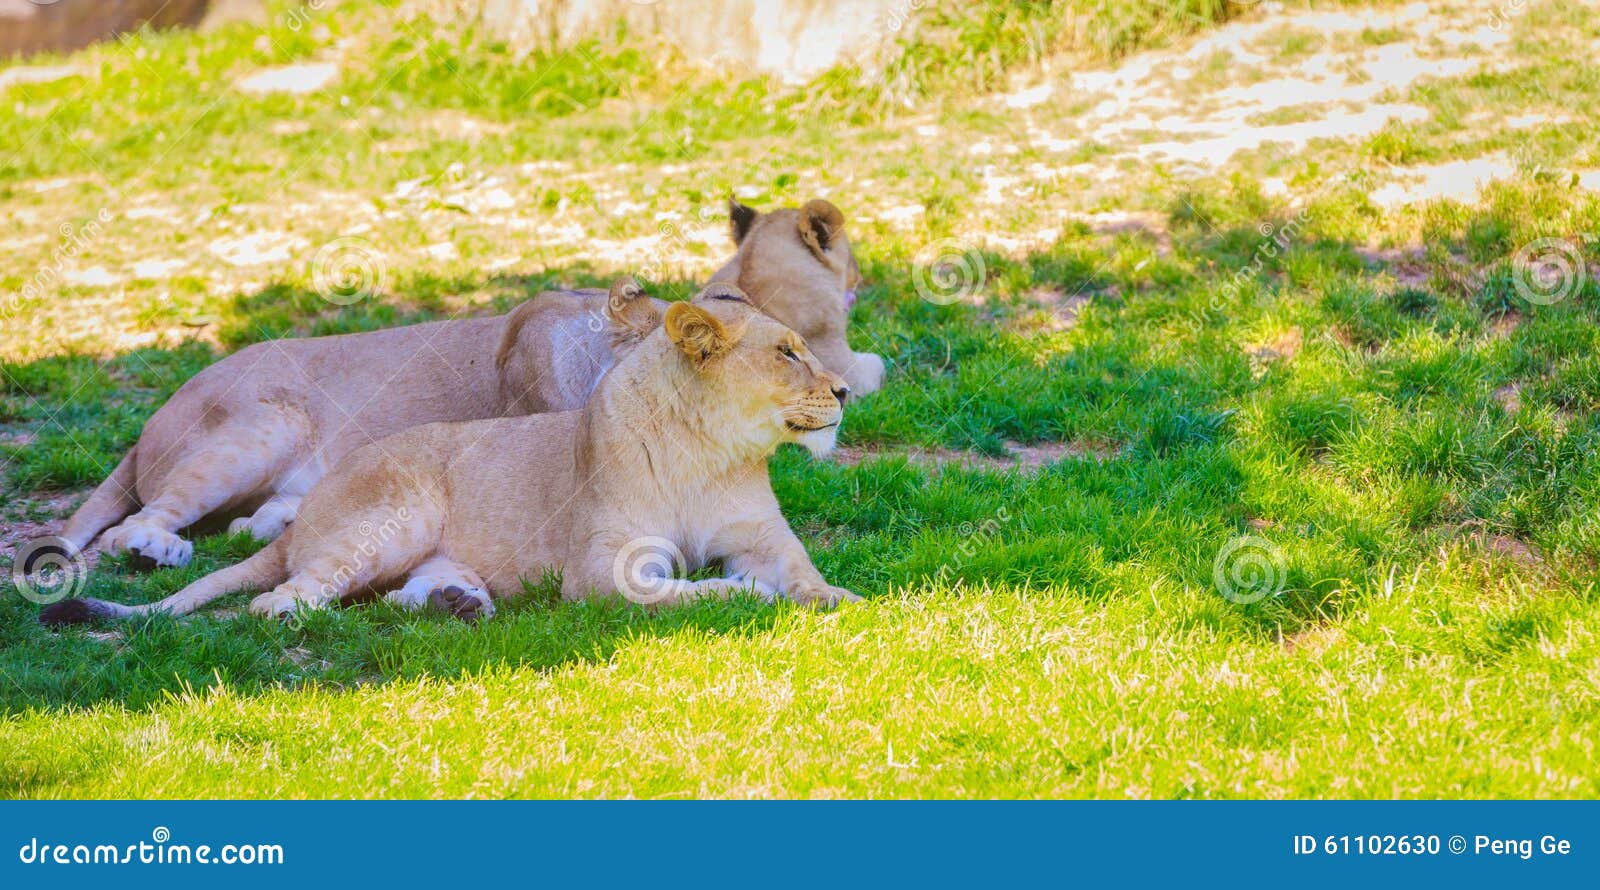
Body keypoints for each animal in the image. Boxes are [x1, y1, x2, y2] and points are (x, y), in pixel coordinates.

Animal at [40, 283, 859, 625]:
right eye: (787, 353)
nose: (847, 390)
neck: (708, 449)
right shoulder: (603, 568)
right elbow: (693, 589)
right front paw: (746, 593)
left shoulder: (764, 536)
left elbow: (803, 571)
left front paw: (841, 601)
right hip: (298, 451)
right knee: (260, 587)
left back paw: (456, 602)